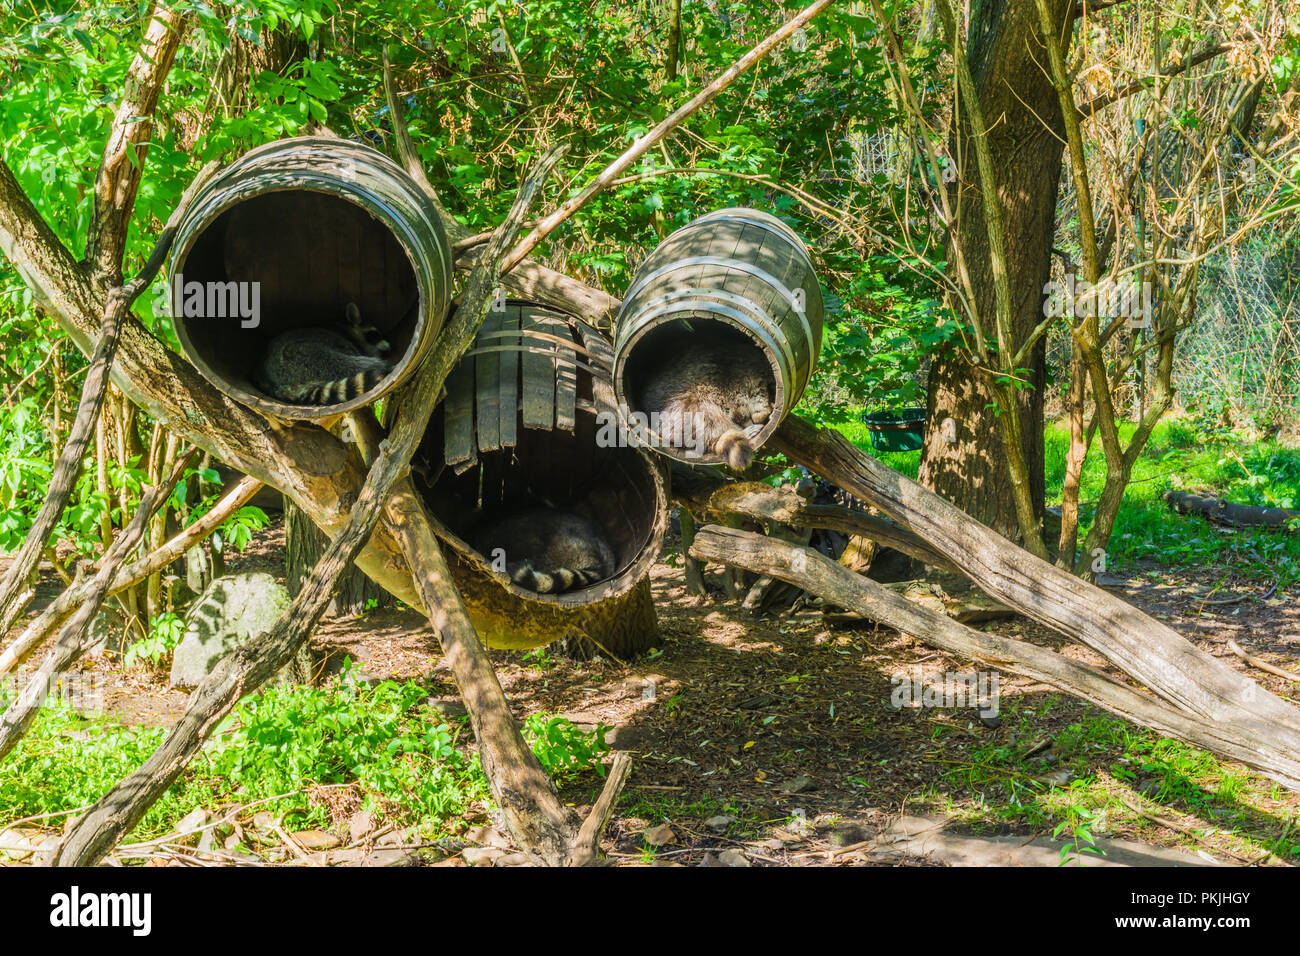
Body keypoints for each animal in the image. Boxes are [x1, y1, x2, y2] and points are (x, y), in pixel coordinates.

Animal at [256, 303, 392, 405]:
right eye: (375, 335)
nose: (389, 348)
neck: (350, 329)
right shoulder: (348, 341)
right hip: (309, 358)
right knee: (352, 364)